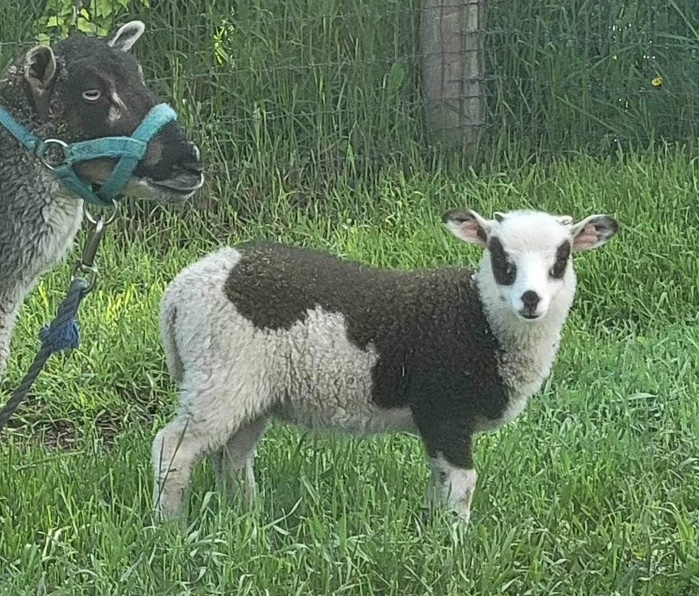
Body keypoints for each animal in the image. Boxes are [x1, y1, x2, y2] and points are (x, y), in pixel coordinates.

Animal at [152, 208, 618, 522]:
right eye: (501, 258)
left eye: (561, 259)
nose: (531, 299)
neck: (480, 319)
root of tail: (181, 290)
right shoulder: (444, 409)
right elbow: (461, 485)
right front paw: (456, 546)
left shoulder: (438, 421)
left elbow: (441, 481)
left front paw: (433, 533)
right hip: (219, 371)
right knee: (173, 448)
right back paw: (171, 526)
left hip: (249, 389)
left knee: (232, 455)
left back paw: (246, 518)